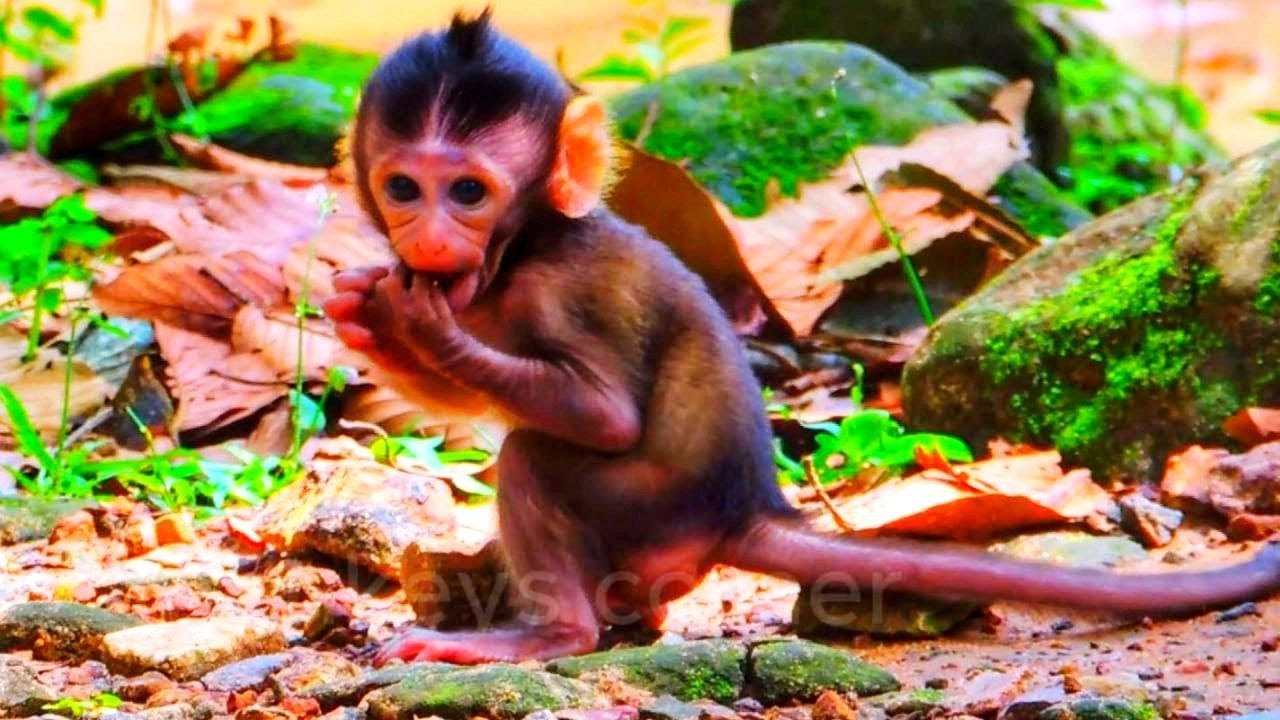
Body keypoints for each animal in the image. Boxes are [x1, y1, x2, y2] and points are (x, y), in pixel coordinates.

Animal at [323, 10, 1280, 666]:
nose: (427, 239)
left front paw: (415, 323)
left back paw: (552, 633)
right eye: (405, 188)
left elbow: (603, 417)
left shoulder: (568, 292)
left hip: (650, 506)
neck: (523, 247)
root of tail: (750, 509)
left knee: (533, 456)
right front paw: (371, 317)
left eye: (469, 193)